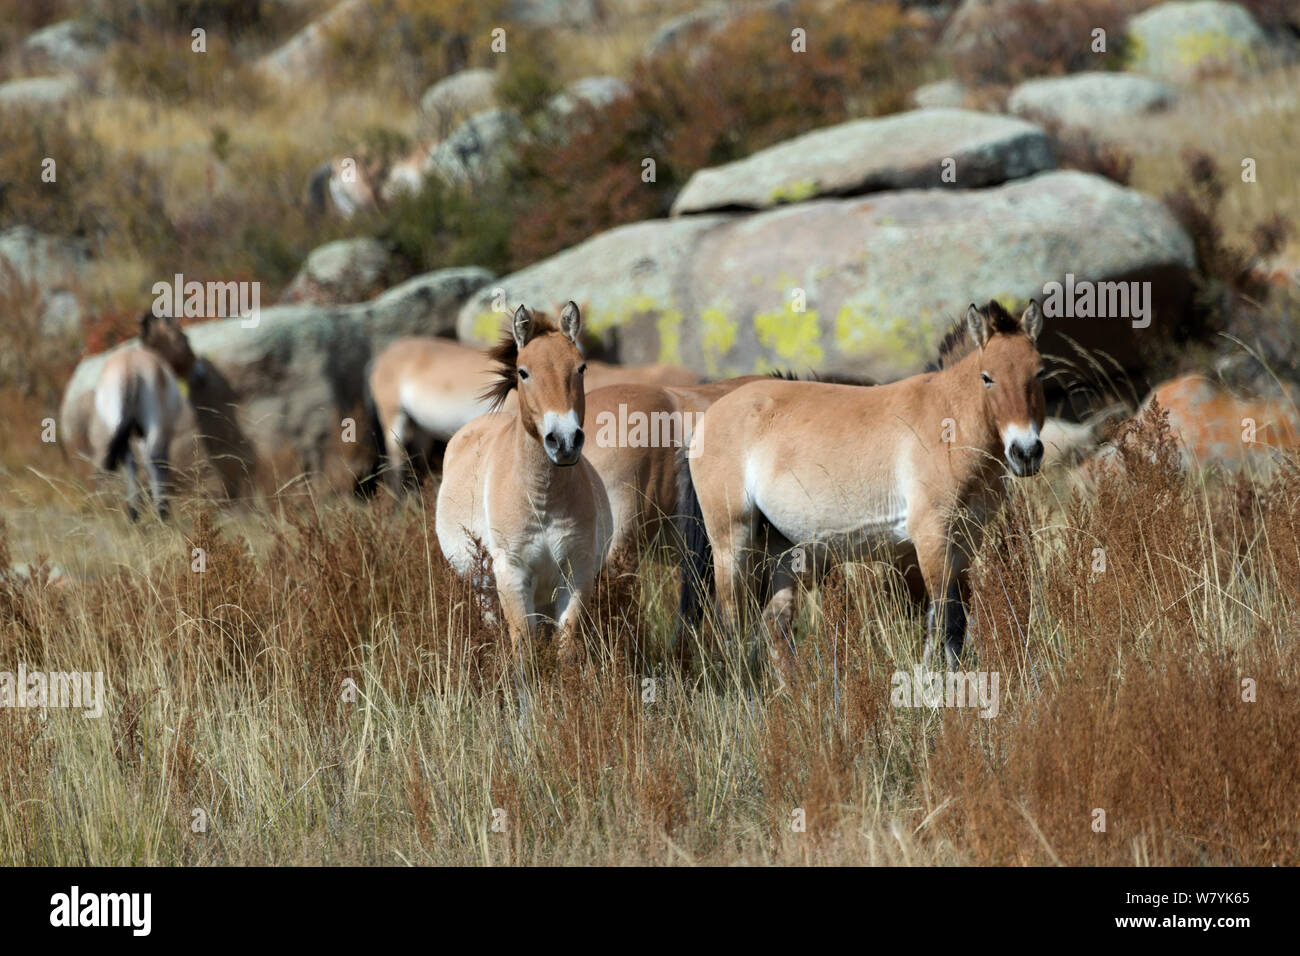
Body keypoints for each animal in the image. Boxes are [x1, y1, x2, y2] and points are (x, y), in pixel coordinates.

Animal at [88, 312, 201, 521]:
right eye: (183, 337)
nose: (195, 365)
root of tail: (129, 369)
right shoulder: (161, 431)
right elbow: (160, 462)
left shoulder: (138, 432)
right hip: (154, 425)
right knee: (153, 459)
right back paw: (161, 511)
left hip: (119, 427)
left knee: (130, 461)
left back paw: (134, 512)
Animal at [435, 303, 612, 668]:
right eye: (524, 371)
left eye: (581, 367)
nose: (564, 441)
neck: (541, 499)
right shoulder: (513, 577)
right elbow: (523, 651)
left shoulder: (576, 574)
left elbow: (565, 647)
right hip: (486, 590)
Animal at [679, 300, 1046, 680]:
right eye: (987, 377)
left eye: (1040, 373)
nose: (1026, 452)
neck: (947, 422)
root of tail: (706, 419)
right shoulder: (931, 538)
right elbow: (948, 619)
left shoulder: (964, 543)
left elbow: (943, 623)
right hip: (732, 542)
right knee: (731, 624)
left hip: (783, 548)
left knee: (774, 626)